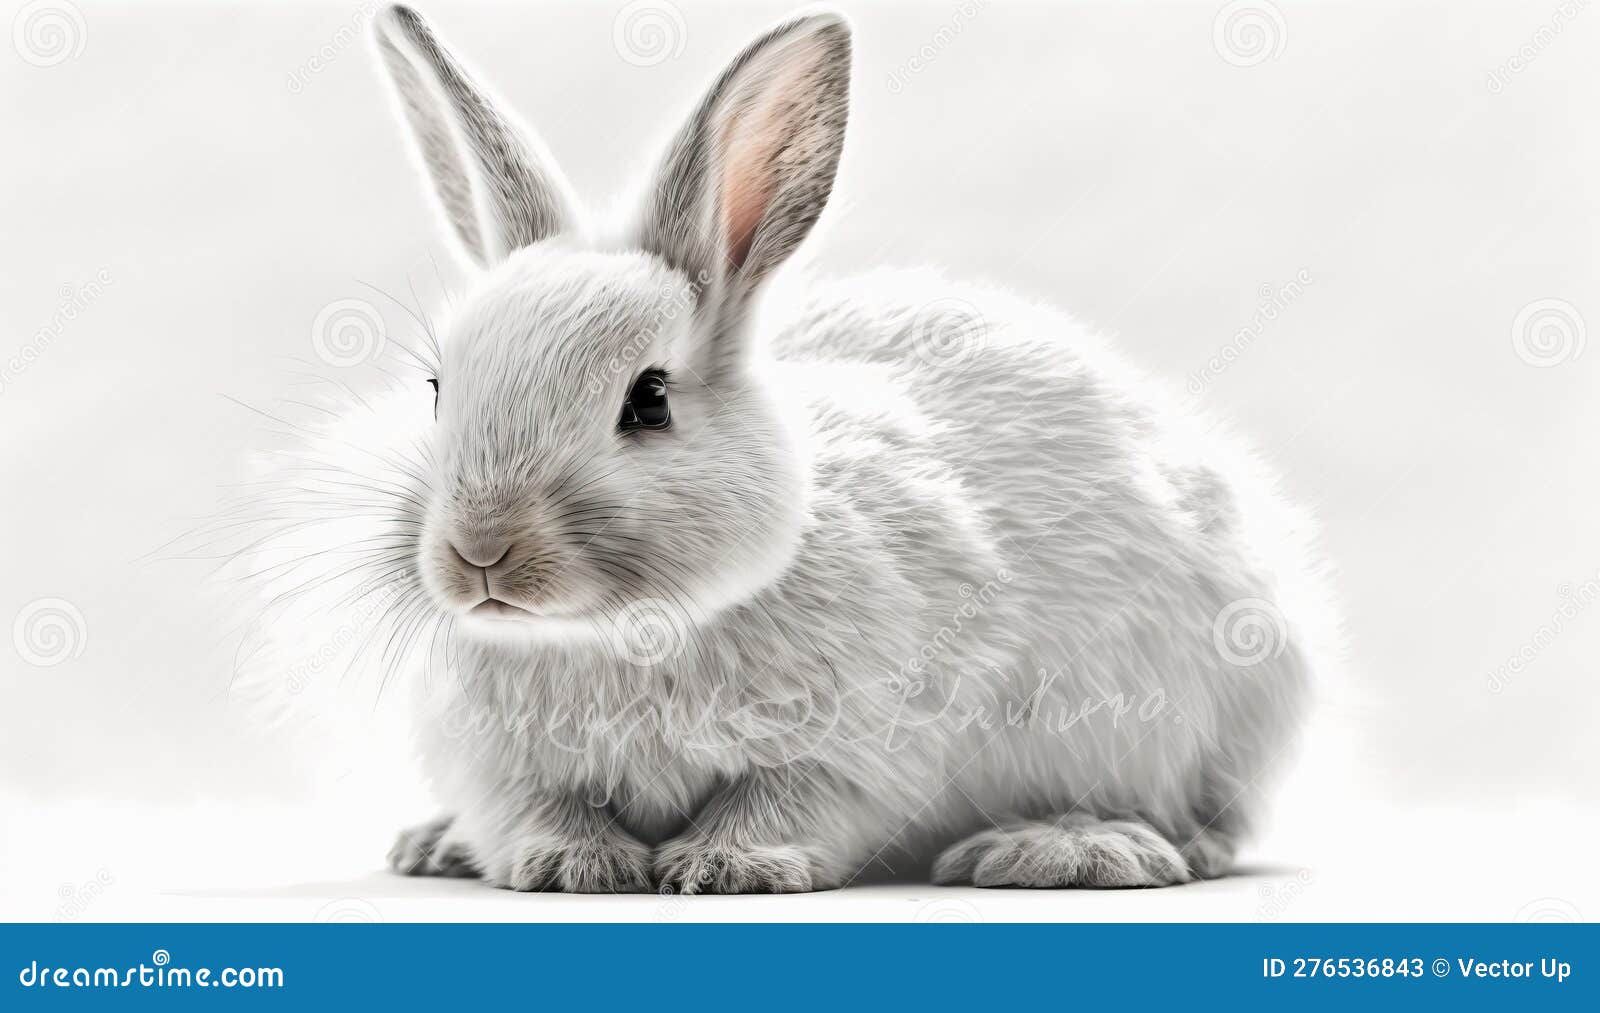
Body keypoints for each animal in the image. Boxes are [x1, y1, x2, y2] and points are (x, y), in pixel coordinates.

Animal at [356, 4, 1333, 893]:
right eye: (439, 388)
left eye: (649, 399)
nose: (480, 552)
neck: (626, 631)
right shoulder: (494, 766)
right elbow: (532, 808)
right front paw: (571, 864)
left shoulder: (867, 745)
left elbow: (790, 799)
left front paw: (727, 867)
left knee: (1202, 820)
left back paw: (1068, 849)